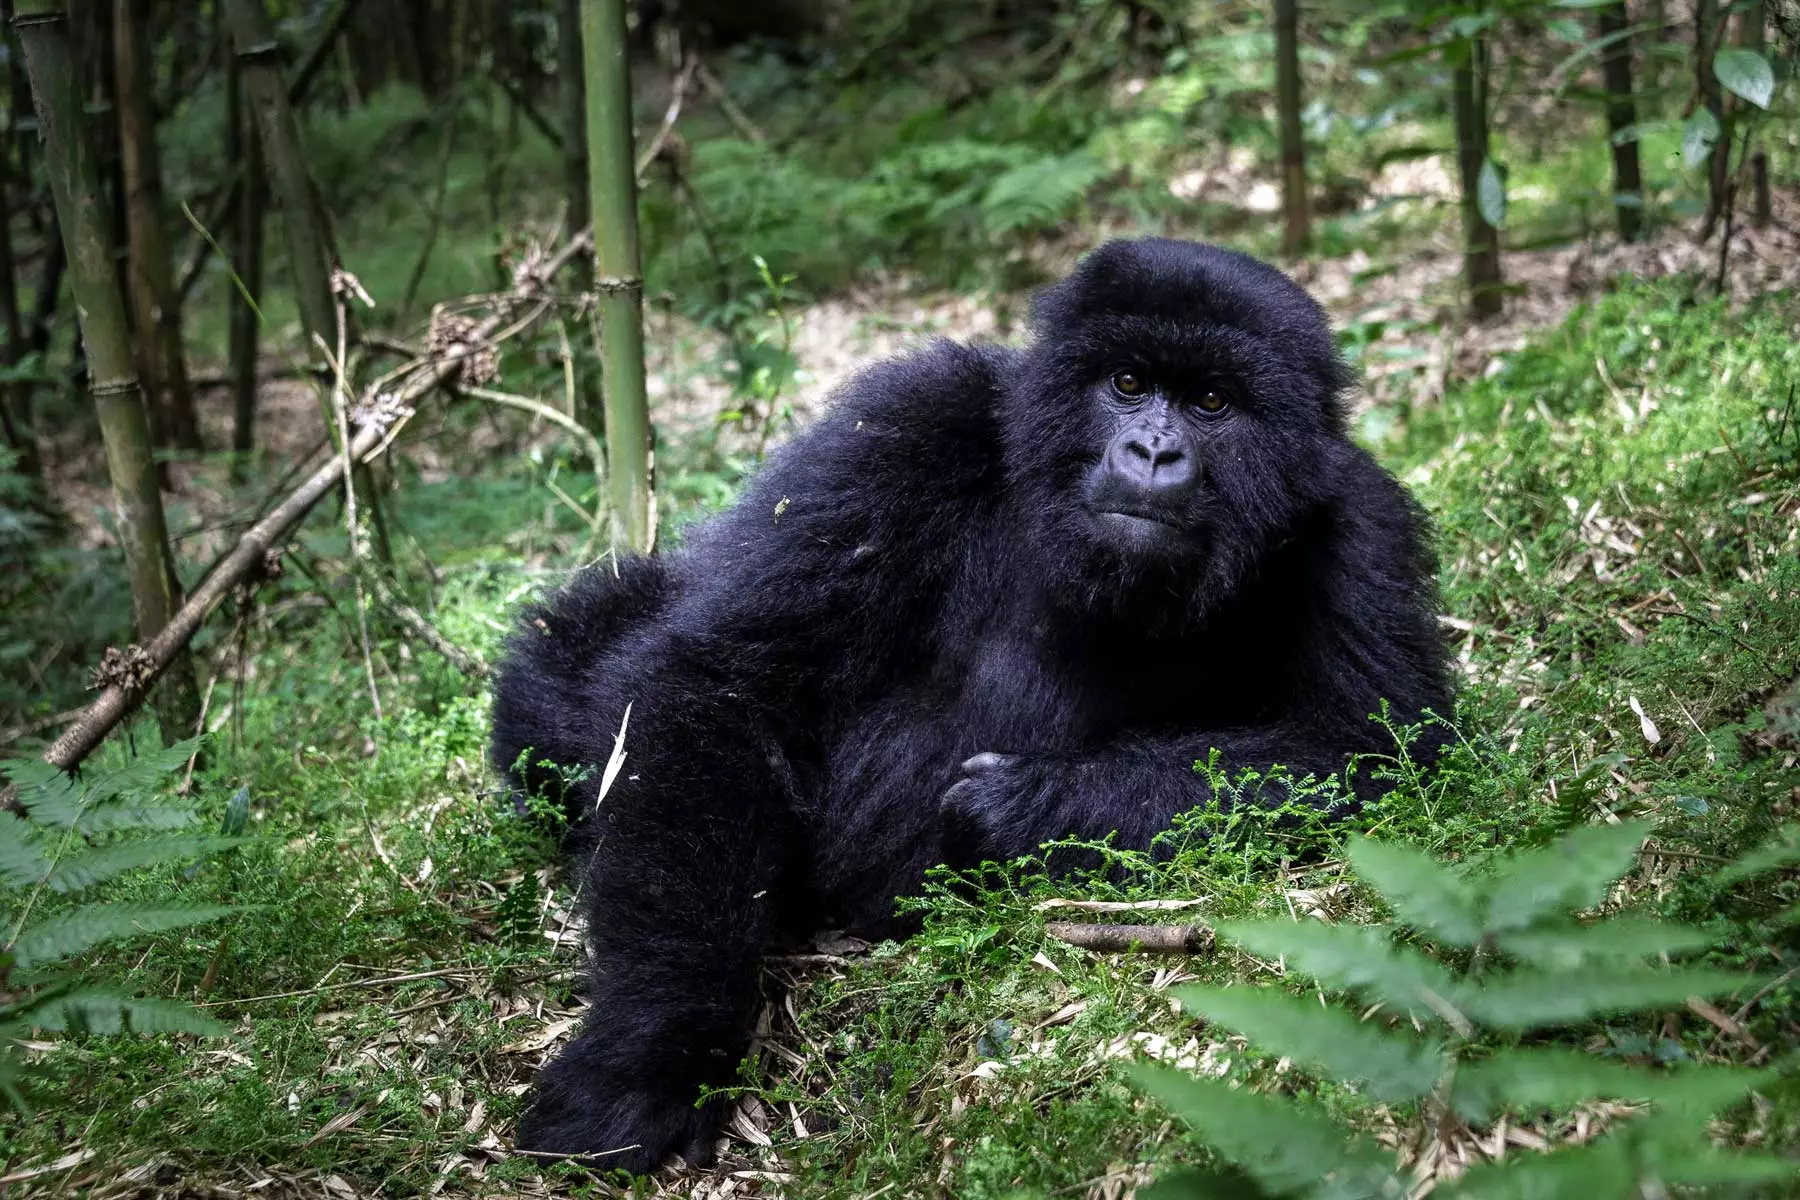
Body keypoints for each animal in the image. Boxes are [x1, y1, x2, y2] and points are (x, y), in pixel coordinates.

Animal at [489, 239, 1447, 1180]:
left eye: (1212, 401)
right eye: (1127, 384)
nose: (1150, 452)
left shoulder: (1359, 518)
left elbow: (1370, 754)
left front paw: (1025, 807)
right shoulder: (910, 424)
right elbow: (721, 678)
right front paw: (652, 1051)